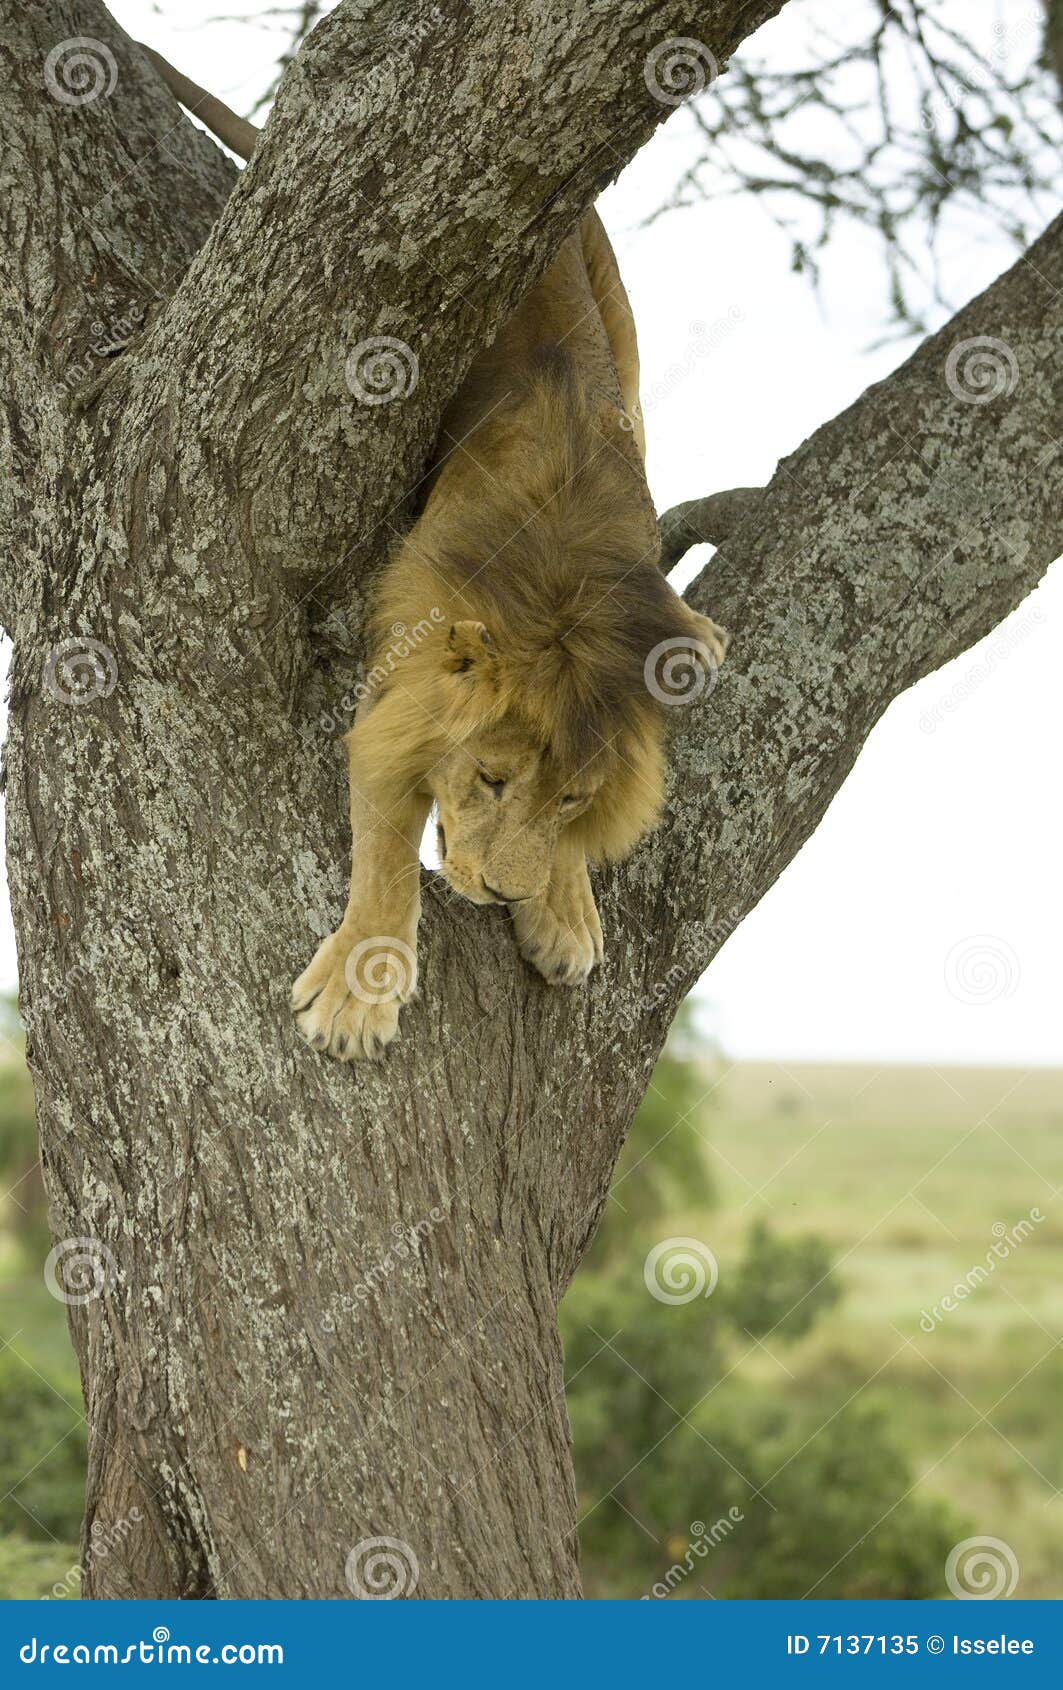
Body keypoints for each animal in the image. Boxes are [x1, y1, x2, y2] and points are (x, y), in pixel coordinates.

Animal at [145, 45, 728, 1061]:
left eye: (572, 802)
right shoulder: (398, 671)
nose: (501, 892)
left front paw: (563, 910)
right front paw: (359, 990)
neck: (566, 600)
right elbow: (384, 849)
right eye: (490, 778)